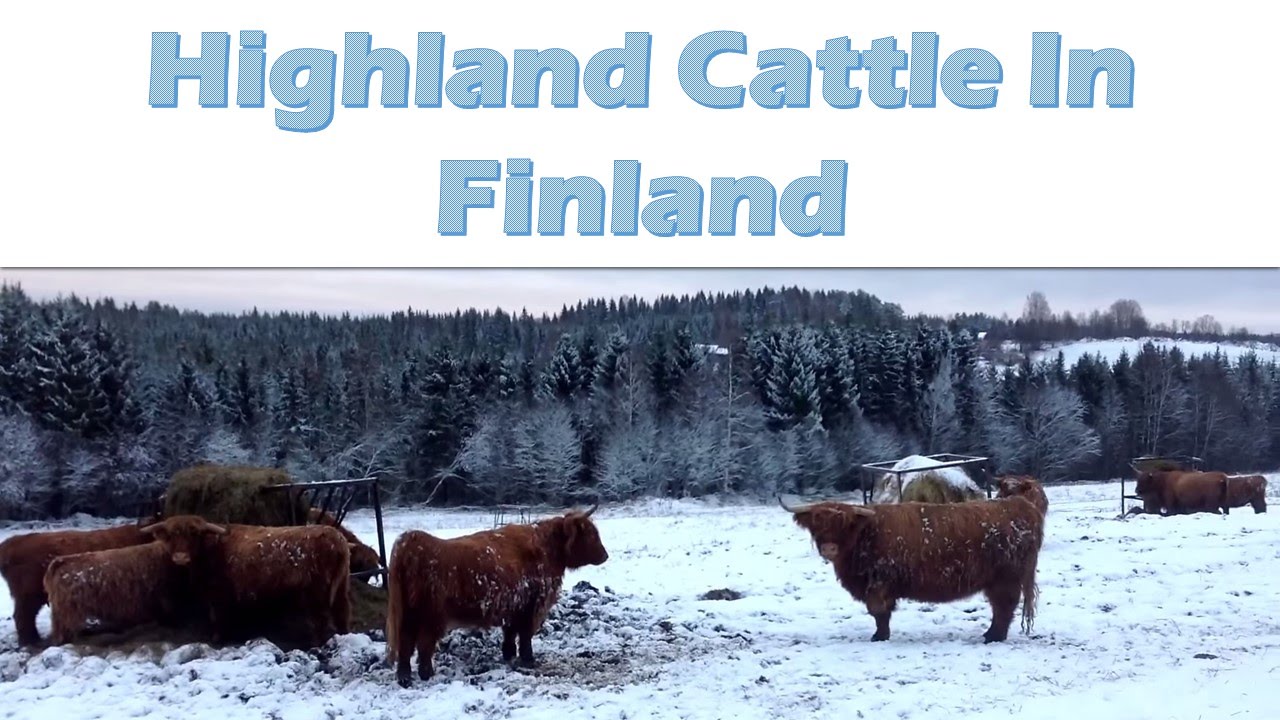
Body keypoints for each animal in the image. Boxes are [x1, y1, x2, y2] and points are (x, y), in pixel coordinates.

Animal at [140, 515, 352, 647]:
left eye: (194, 534)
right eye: (171, 535)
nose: (181, 557)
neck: (212, 549)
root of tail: (336, 537)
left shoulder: (219, 594)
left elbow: (217, 617)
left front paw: (218, 638)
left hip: (316, 591)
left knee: (320, 619)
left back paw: (316, 644)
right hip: (341, 585)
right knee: (342, 613)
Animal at [385, 505, 609, 687]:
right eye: (590, 534)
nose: (605, 555)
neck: (548, 549)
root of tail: (412, 540)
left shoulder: (514, 605)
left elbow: (510, 632)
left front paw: (508, 654)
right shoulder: (532, 606)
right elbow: (525, 635)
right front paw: (528, 659)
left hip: (408, 613)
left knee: (405, 644)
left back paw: (404, 678)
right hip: (431, 616)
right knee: (423, 643)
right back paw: (427, 674)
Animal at [779, 495, 1044, 644]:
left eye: (845, 524)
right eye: (816, 524)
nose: (829, 548)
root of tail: (1020, 505)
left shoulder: (878, 584)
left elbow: (879, 612)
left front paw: (879, 637)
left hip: (1005, 578)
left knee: (1004, 607)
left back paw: (993, 637)